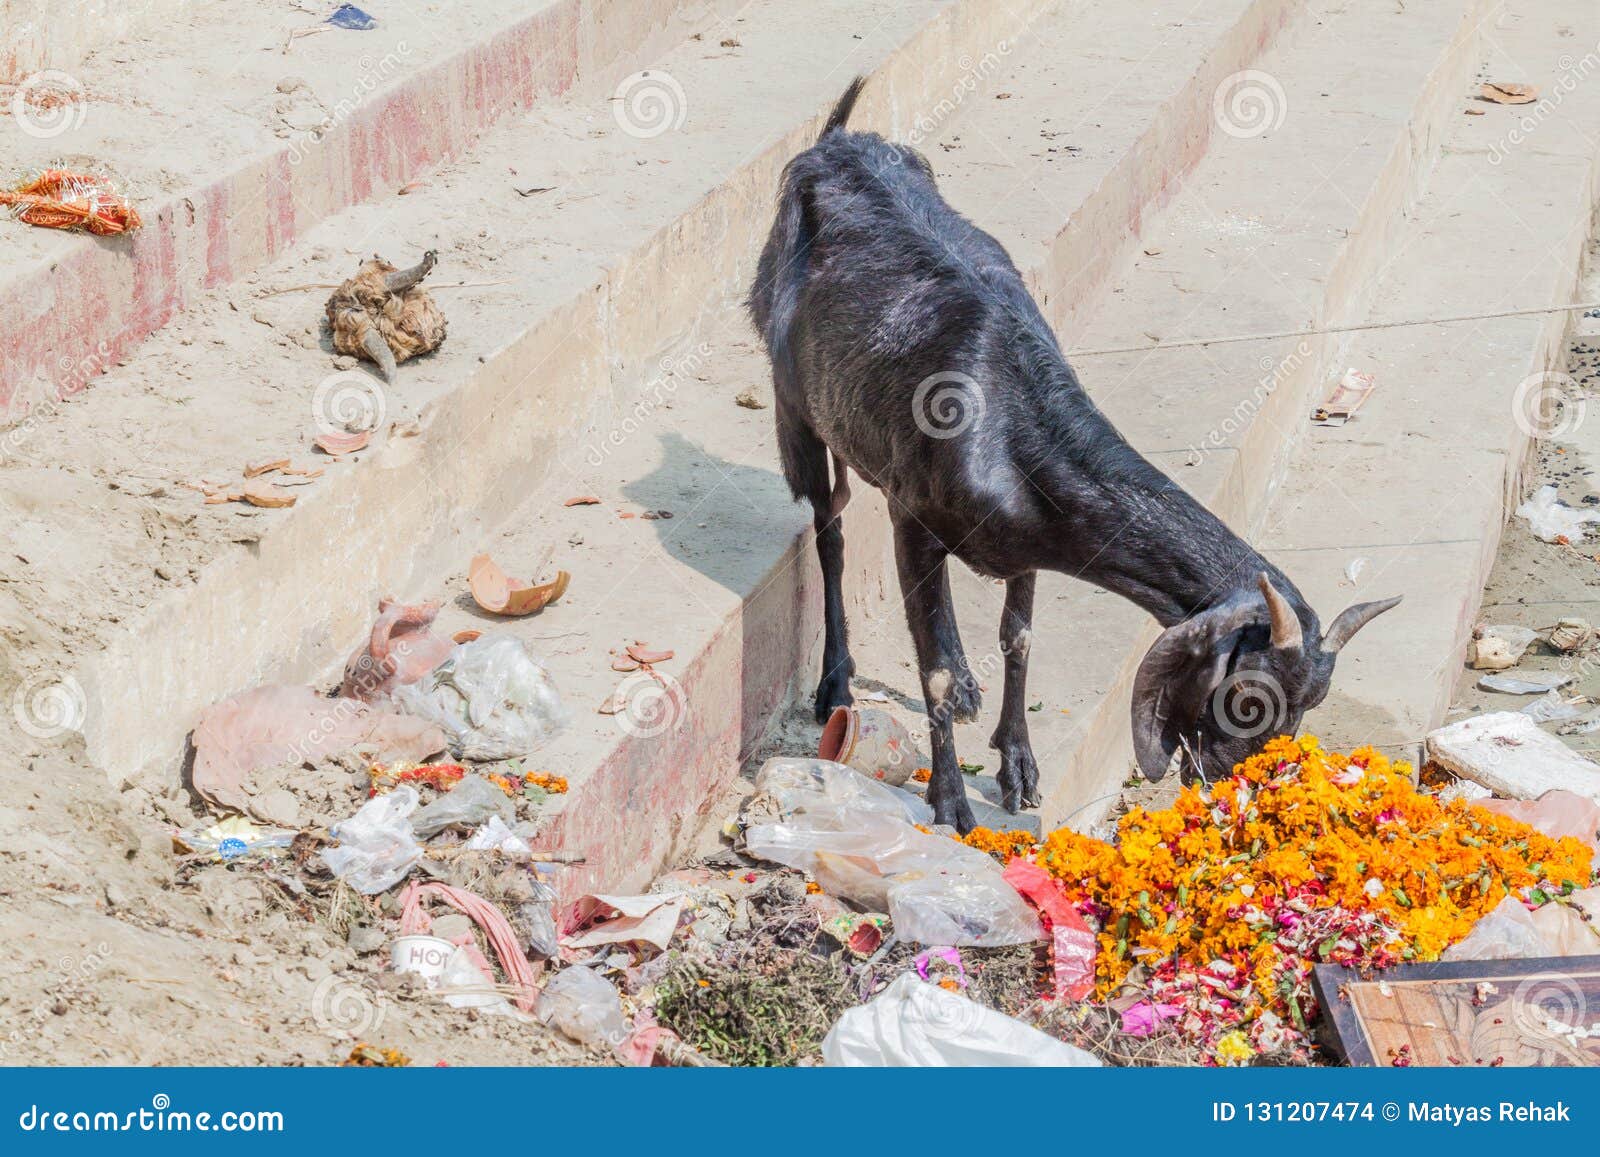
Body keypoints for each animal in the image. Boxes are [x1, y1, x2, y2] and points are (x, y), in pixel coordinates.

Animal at [747, 78, 1401, 833]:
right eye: (1246, 694)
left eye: (1308, 705)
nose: (1225, 781)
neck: (1004, 413)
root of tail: (835, 143)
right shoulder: (912, 519)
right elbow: (931, 666)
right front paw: (951, 802)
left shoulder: (1027, 538)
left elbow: (1018, 636)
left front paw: (1017, 765)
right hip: (796, 407)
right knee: (829, 525)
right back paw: (836, 680)